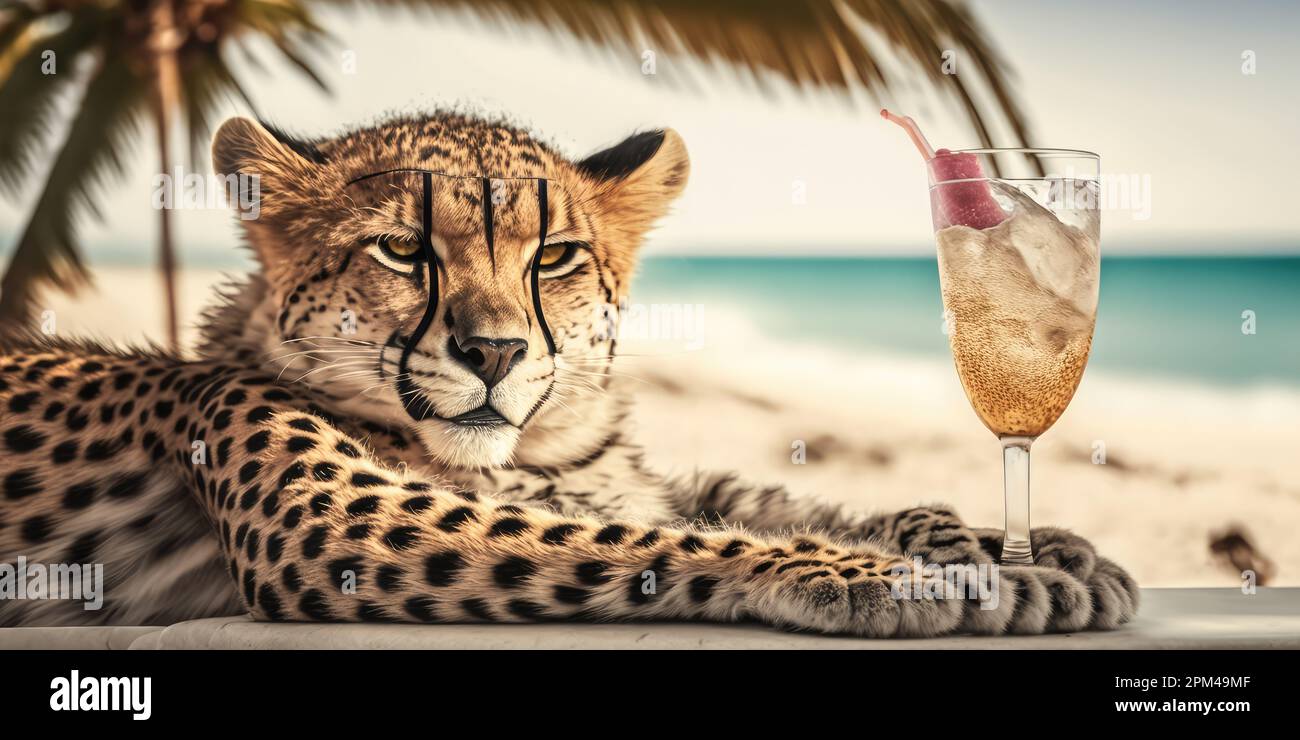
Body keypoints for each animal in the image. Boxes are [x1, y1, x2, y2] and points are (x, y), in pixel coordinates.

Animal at [0, 111, 1138, 636]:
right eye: (401, 251)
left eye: (552, 257)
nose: (495, 351)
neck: (532, 445)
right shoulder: (343, 527)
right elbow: (646, 539)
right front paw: (942, 576)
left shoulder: (637, 474)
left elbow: (765, 498)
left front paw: (1018, 545)